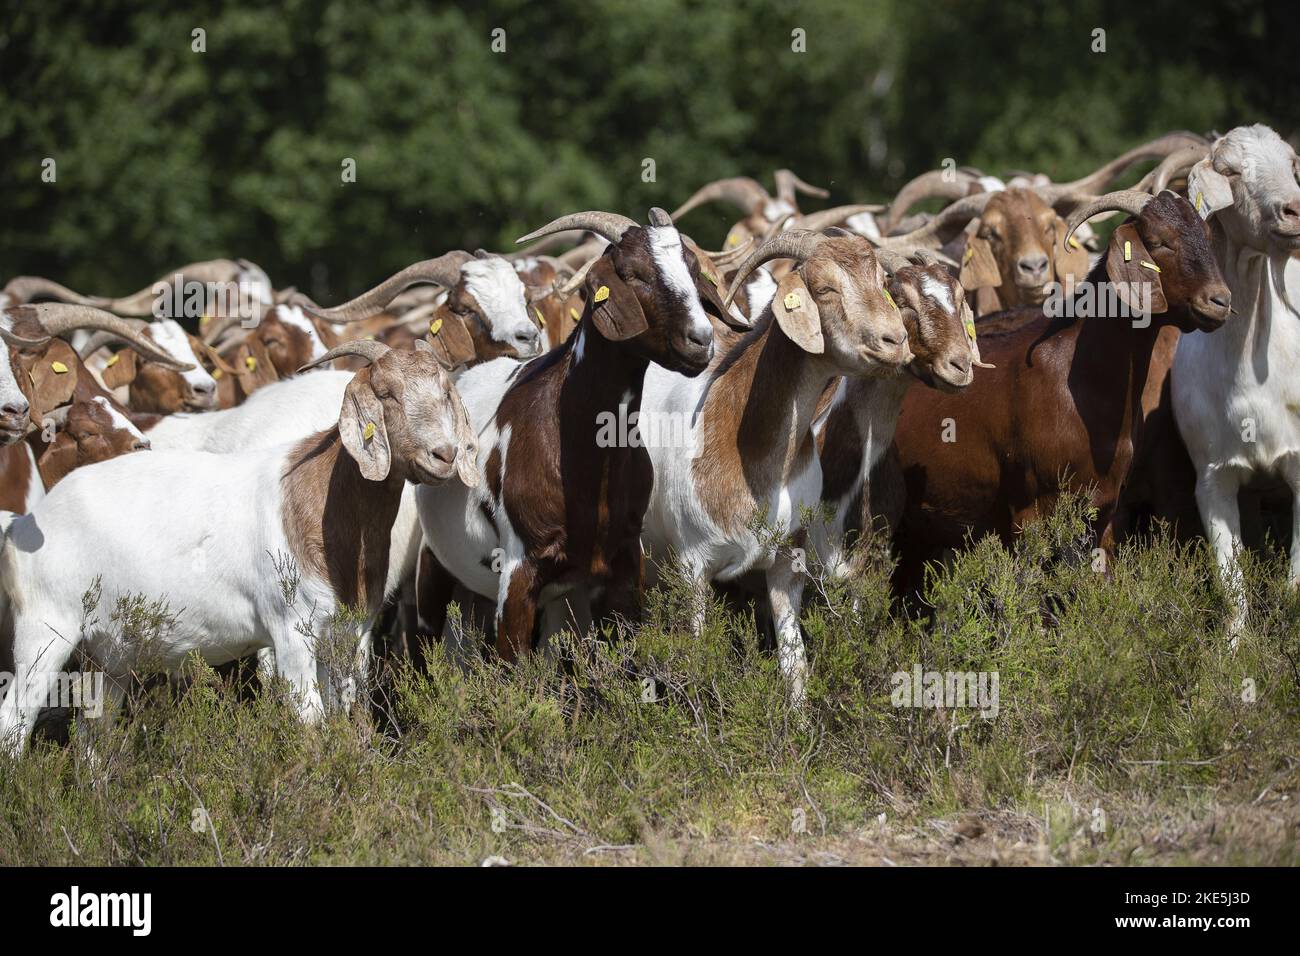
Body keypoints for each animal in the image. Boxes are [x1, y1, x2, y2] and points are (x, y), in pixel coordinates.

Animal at [0, 339, 477, 755]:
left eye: (444, 392)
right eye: (385, 393)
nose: (443, 455)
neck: (313, 497)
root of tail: (24, 524)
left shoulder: (351, 633)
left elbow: (349, 716)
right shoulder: (291, 631)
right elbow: (311, 725)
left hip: (107, 656)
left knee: (91, 737)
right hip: (45, 629)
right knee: (14, 722)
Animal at [415, 208, 728, 662]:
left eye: (691, 268)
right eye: (633, 274)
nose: (701, 341)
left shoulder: (623, 565)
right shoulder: (519, 571)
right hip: (433, 572)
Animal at [890, 188, 1231, 597]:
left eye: (1207, 237)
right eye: (1160, 241)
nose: (1220, 301)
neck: (1076, 381)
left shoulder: (1103, 509)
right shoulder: (1030, 513)